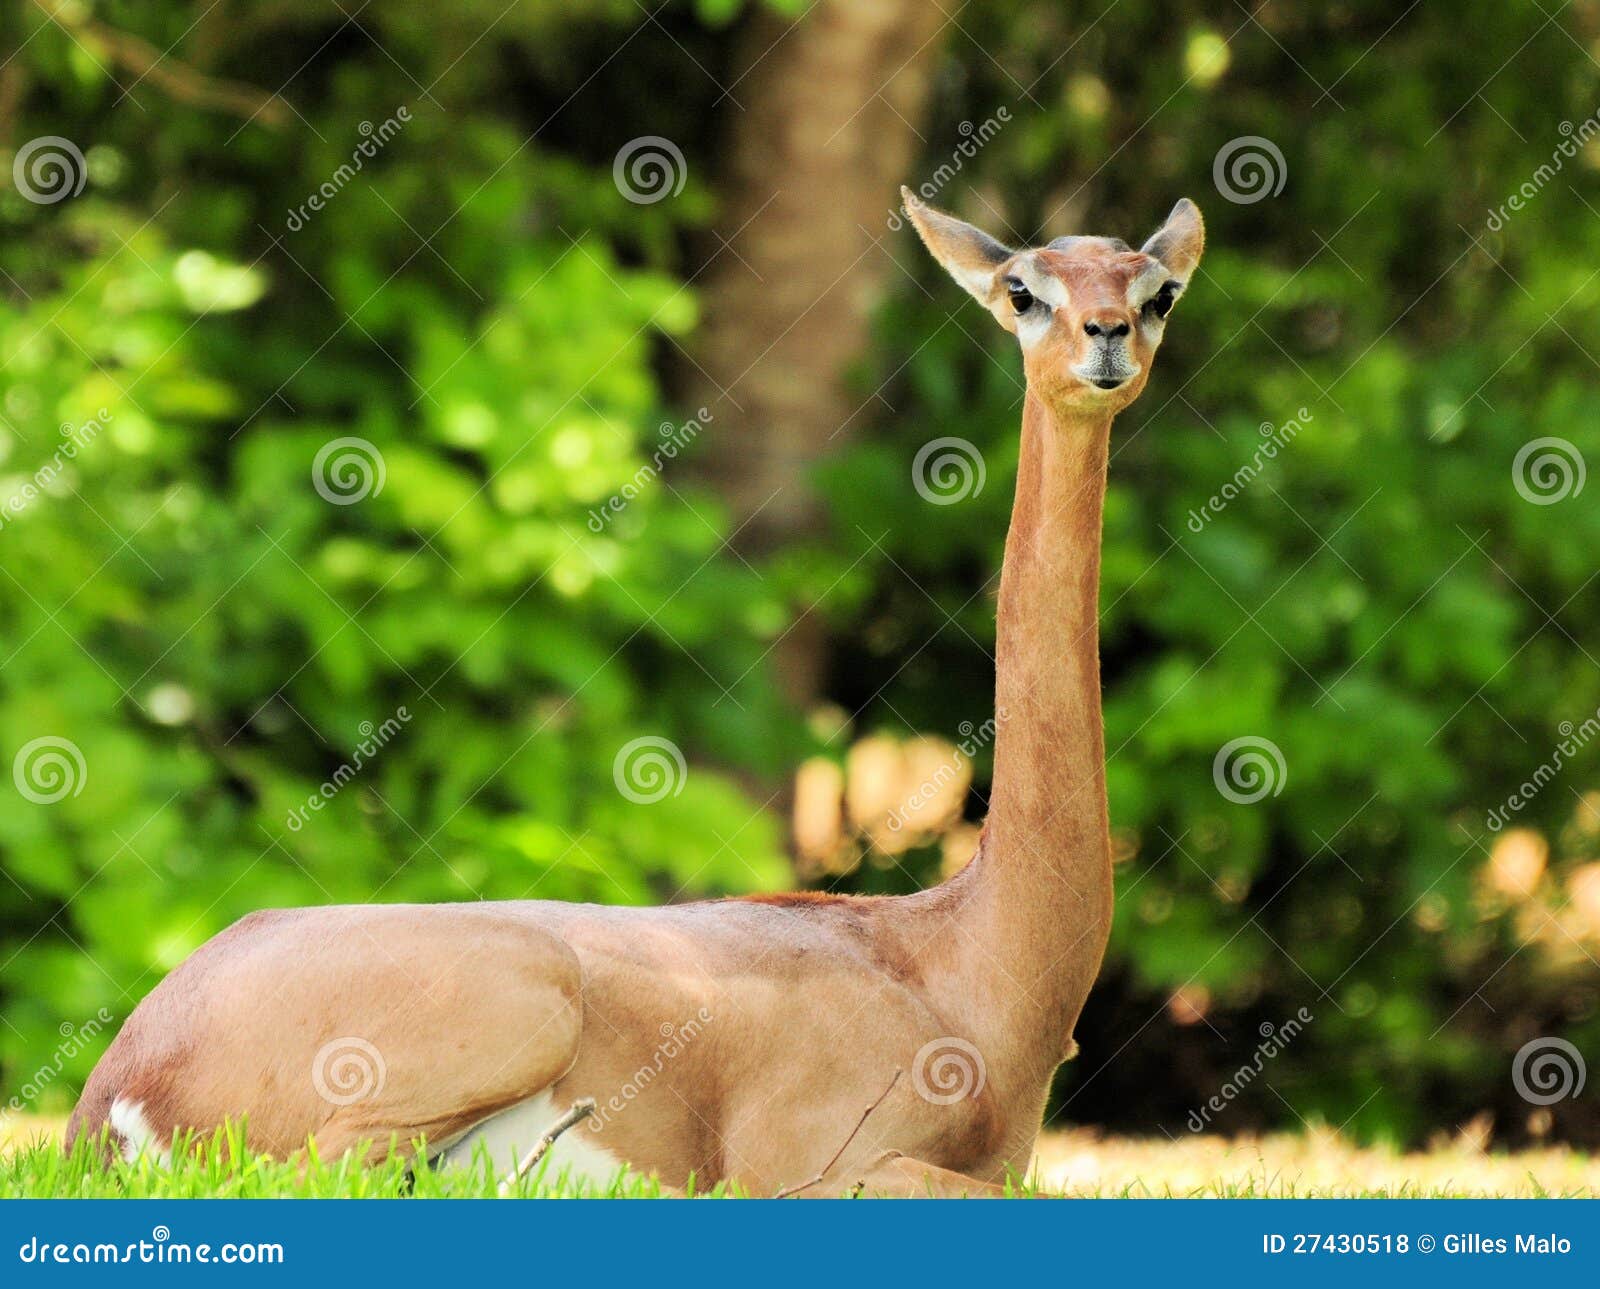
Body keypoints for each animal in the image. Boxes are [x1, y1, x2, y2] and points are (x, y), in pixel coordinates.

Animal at [67, 187, 1203, 1197]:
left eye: (1157, 290)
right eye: (1021, 288)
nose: (1106, 335)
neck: (966, 967)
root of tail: (120, 1082)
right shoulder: (813, 1162)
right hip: (510, 1013)